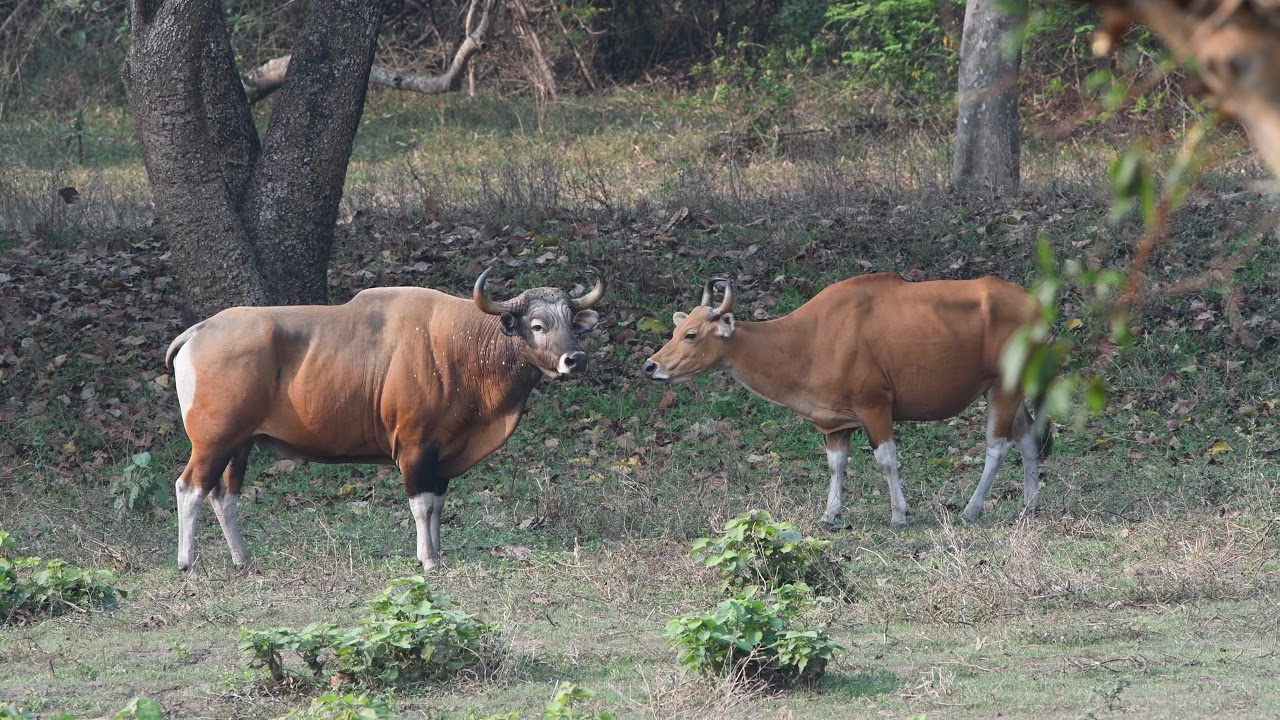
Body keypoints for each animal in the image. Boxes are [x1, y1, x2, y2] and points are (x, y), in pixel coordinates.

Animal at [165, 268, 605, 574]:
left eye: (571, 323)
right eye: (537, 325)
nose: (575, 359)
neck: (461, 347)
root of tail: (198, 332)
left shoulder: (442, 453)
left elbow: (438, 505)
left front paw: (438, 552)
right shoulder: (413, 447)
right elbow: (421, 506)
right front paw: (428, 560)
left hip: (240, 444)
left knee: (224, 496)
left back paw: (243, 560)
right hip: (213, 441)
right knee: (190, 488)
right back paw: (187, 562)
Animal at [643, 274, 1052, 528]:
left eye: (692, 334)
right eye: (676, 330)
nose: (650, 365)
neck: (808, 340)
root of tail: (1035, 304)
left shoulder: (875, 405)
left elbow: (886, 460)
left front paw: (899, 514)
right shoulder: (835, 424)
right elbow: (836, 465)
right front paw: (830, 514)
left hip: (1003, 385)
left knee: (998, 446)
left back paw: (972, 508)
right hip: (1008, 387)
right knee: (1028, 436)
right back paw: (1030, 504)